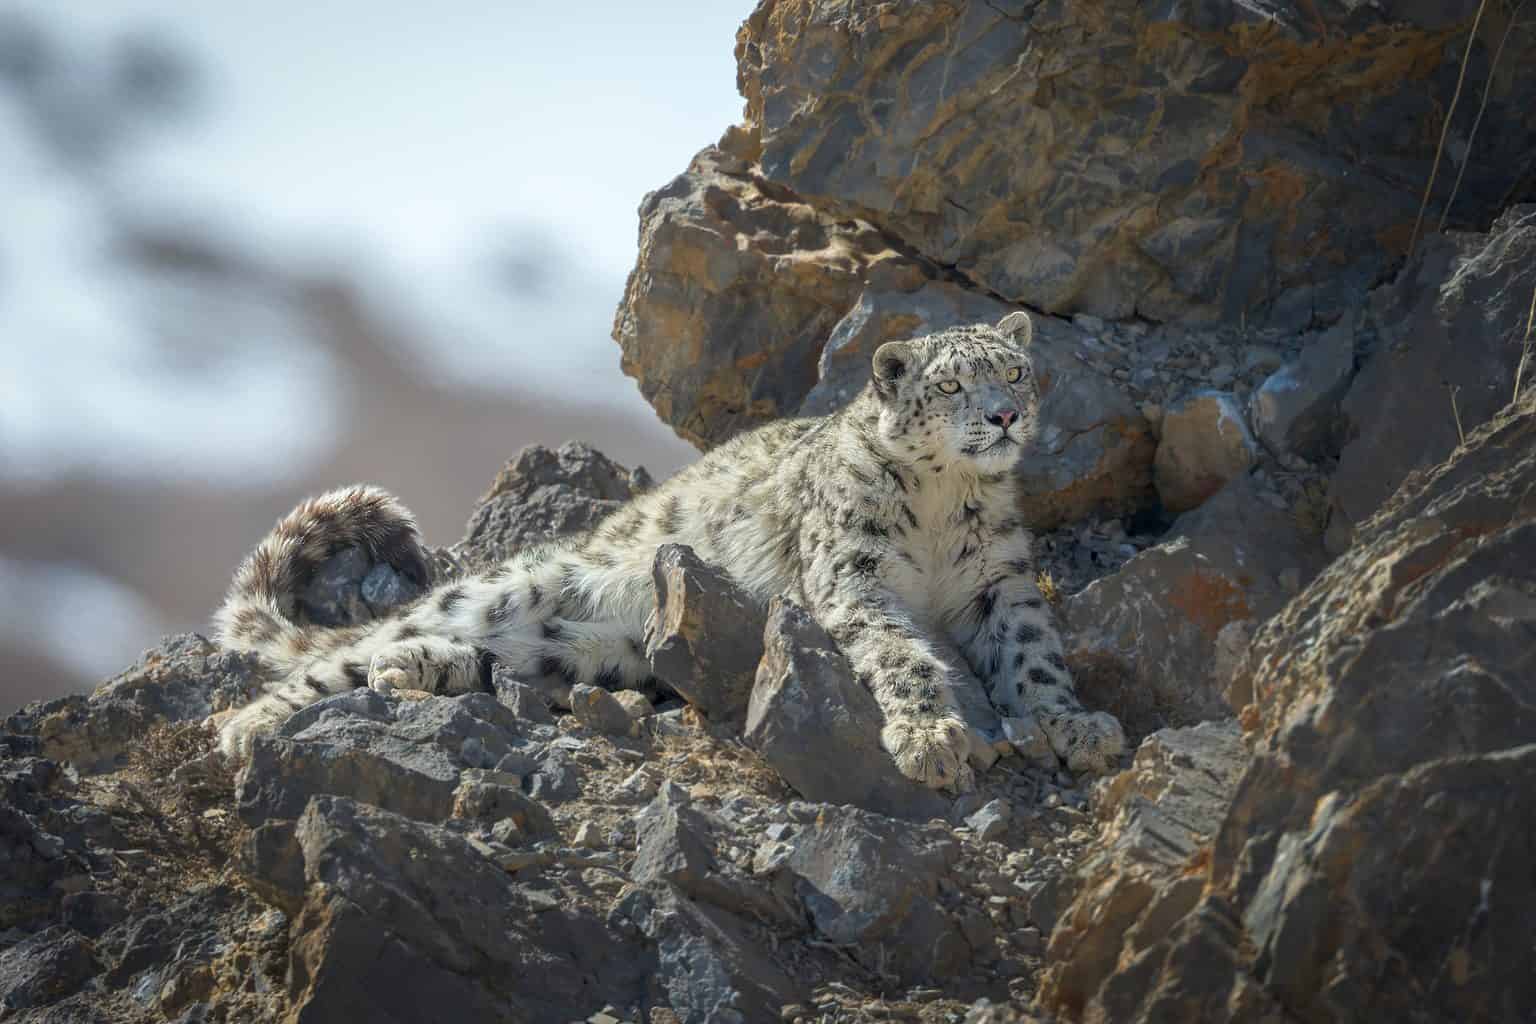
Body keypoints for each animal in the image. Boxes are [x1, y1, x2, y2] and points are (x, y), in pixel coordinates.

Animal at [214, 312, 1126, 787]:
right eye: (950, 384)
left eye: (1016, 371)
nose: (1004, 416)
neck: (944, 504)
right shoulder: (853, 575)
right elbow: (902, 651)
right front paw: (933, 737)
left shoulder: (1000, 582)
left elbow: (1034, 655)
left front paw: (1073, 725)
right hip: (504, 592)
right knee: (326, 663)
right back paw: (248, 730)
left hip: (601, 654)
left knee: (498, 664)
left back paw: (412, 672)